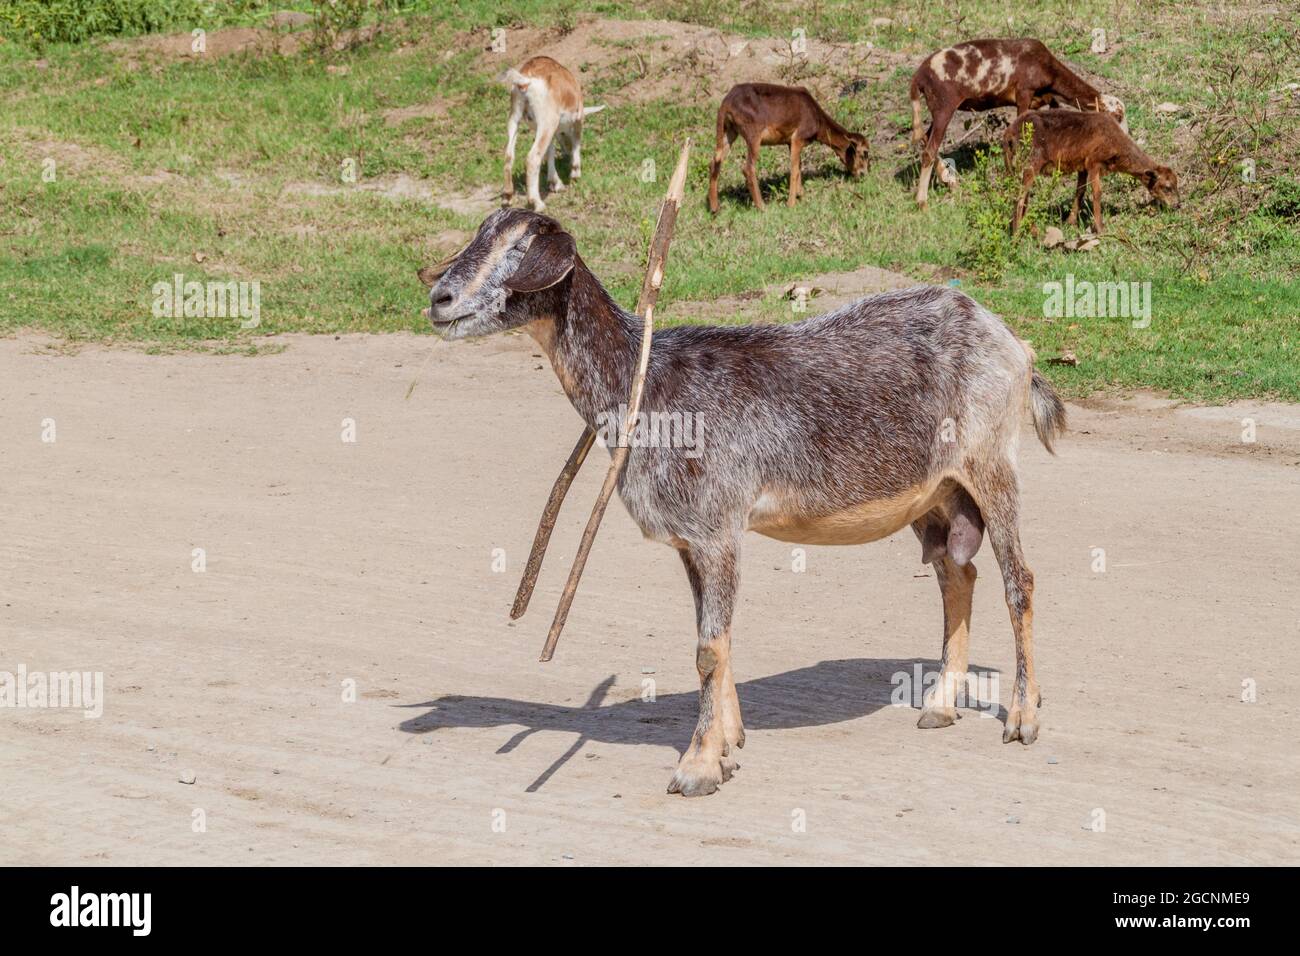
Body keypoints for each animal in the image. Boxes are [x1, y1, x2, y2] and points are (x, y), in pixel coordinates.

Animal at [424, 208, 1067, 796]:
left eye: (518, 246)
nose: (439, 297)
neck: (645, 384)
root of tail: (1010, 340)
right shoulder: (690, 539)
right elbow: (714, 639)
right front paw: (729, 741)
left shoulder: (717, 527)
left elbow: (709, 649)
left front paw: (697, 767)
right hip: (936, 491)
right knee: (958, 574)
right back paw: (939, 702)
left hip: (990, 461)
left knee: (1020, 579)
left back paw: (1023, 716)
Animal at [503, 56, 605, 212]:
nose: (566, 151)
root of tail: (526, 81)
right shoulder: (577, 120)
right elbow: (577, 141)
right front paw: (575, 174)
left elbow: (550, 151)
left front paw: (555, 183)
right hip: (547, 121)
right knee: (532, 157)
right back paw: (537, 203)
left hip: (515, 118)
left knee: (509, 155)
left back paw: (507, 197)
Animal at [708, 83, 870, 213]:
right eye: (864, 153)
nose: (863, 174)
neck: (817, 118)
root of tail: (727, 102)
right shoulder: (797, 138)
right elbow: (794, 170)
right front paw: (791, 204)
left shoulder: (790, 143)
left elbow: (798, 167)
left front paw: (801, 196)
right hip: (753, 135)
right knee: (748, 168)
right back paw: (762, 207)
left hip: (729, 132)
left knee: (715, 161)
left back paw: (715, 208)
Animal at [910, 38, 1127, 207]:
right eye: (1117, 116)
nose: (1123, 139)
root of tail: (918, 77)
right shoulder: (1024, 93)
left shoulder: (1047, 100)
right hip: (944, 105)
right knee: (929, 150)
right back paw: (922, 202)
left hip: (936, 108)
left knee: (925, 138)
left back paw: (949, 181)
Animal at [1004, 109, 1180, 234]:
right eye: (1167, 187)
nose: (1177, 205)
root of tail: (1009, 133)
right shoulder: (1094, 163)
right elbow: (1097, 193)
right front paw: (1100, 228)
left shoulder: (1082, 167)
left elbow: (1080, 192)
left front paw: (1071, 222)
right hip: (1032, 161)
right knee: (1019, 197)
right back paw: (1017, 233)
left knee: (1022, 195)